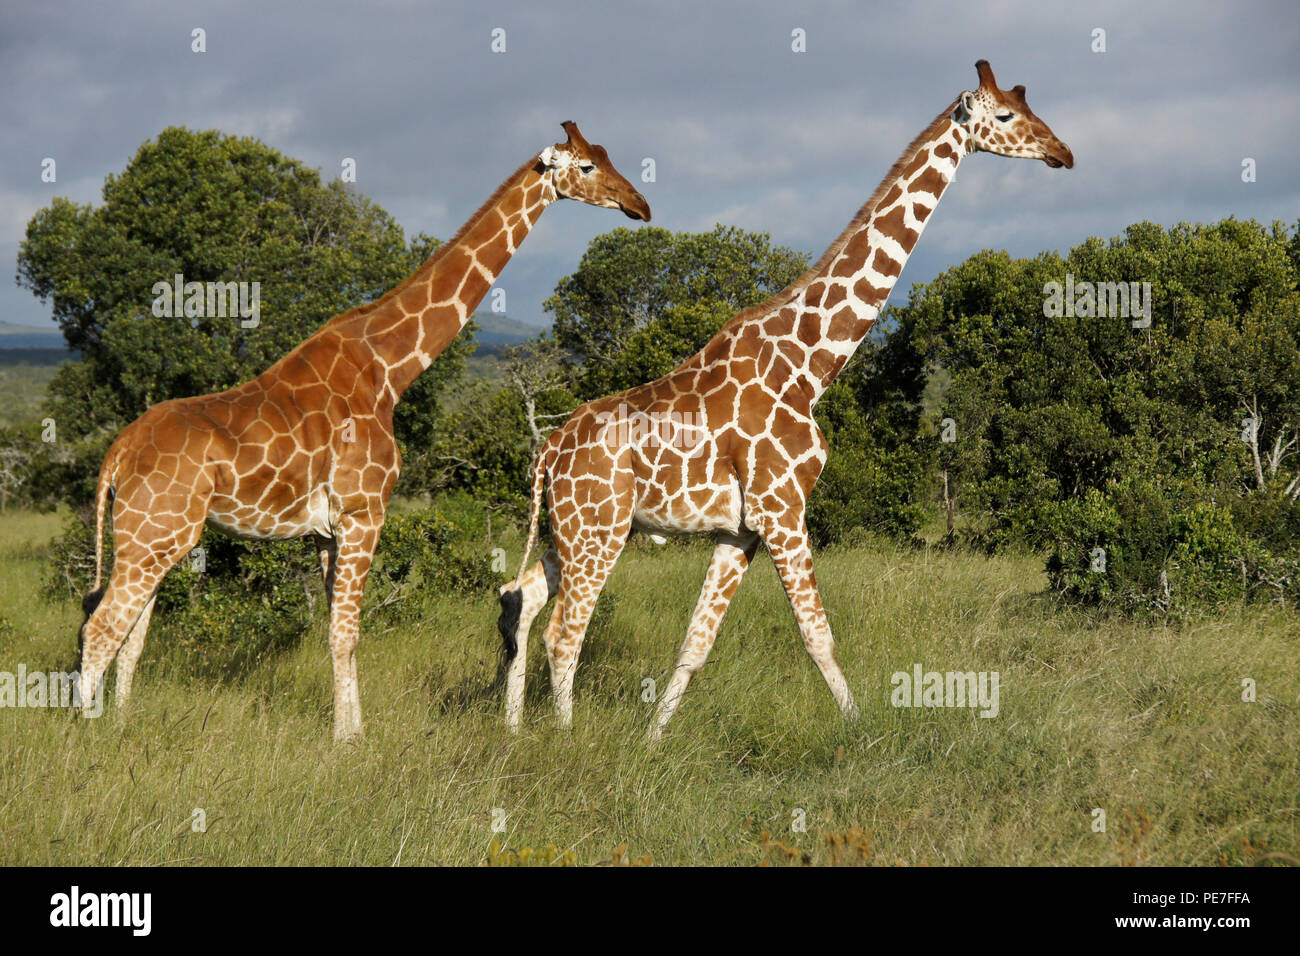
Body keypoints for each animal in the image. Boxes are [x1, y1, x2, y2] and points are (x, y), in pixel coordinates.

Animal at [76, 121, 650, 741]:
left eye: (607, 156)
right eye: (588, 167)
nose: (639, 205)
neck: (390, 368)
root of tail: (116, 454)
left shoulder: (328, 531)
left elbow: (341, 635)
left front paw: (351, 732)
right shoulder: (364, 512)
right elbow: (347, 633)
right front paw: (348, 739)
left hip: (154, 538)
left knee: (126, 633)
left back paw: (120, 726)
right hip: (155, 534)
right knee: (100, 629)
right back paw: (86, 739)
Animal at [498, 61, 1072, 737]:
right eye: (1005, 115)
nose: (1063, 153)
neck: (810, 365)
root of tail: (546, 453)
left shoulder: (740, 530)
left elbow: (696, 643)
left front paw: (651, 740)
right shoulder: (783, 508)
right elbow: (818, 635)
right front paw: (862, 735)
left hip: (570, 529)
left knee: (520, 601)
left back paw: (512, 730)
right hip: (599, 528)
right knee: (564, 633)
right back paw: (564, 740)